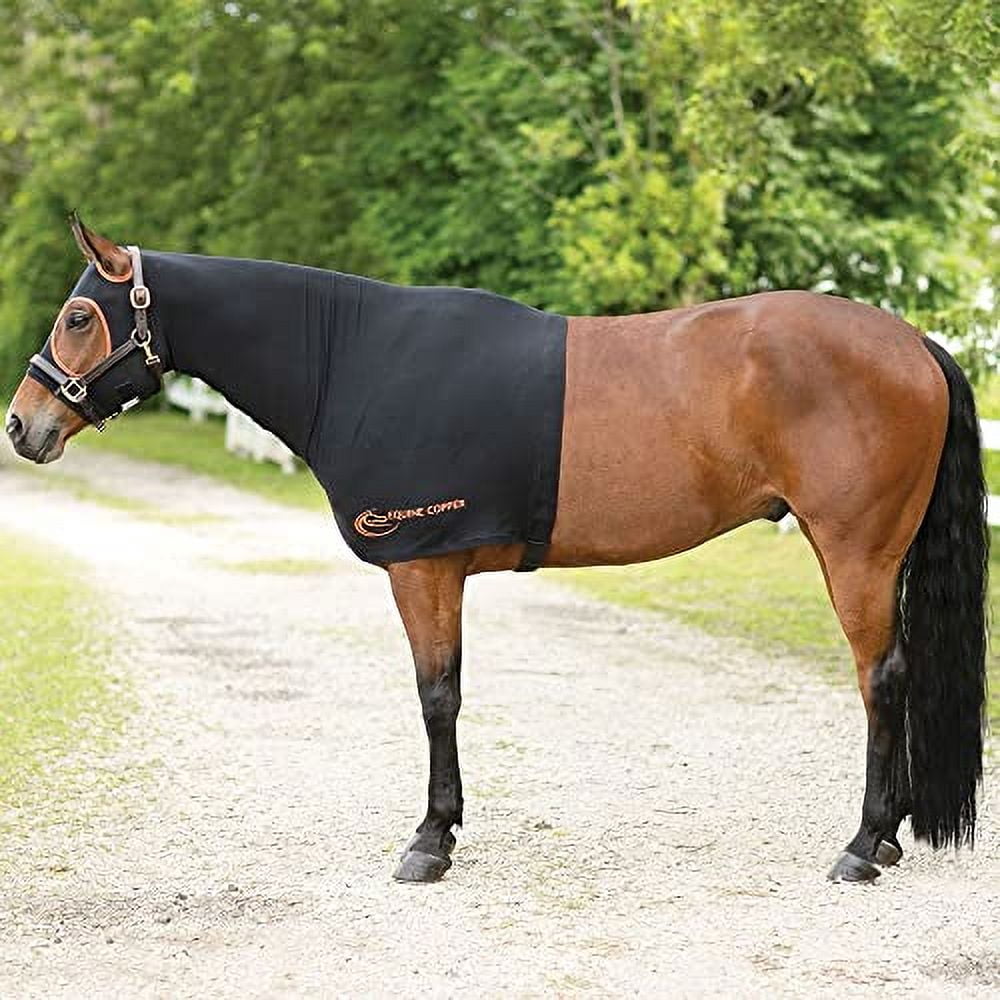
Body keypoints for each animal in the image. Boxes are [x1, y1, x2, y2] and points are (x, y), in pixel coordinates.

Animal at [6, 216, 988, 885]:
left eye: (82, 317)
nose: (24, 424)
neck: (353, 359)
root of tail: (914, 342)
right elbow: (446, 694)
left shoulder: (423, 569)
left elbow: (436, 697)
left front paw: (429, 840)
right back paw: (888, 837)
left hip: (856, 552)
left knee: (882, 679)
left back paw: (863, 844)